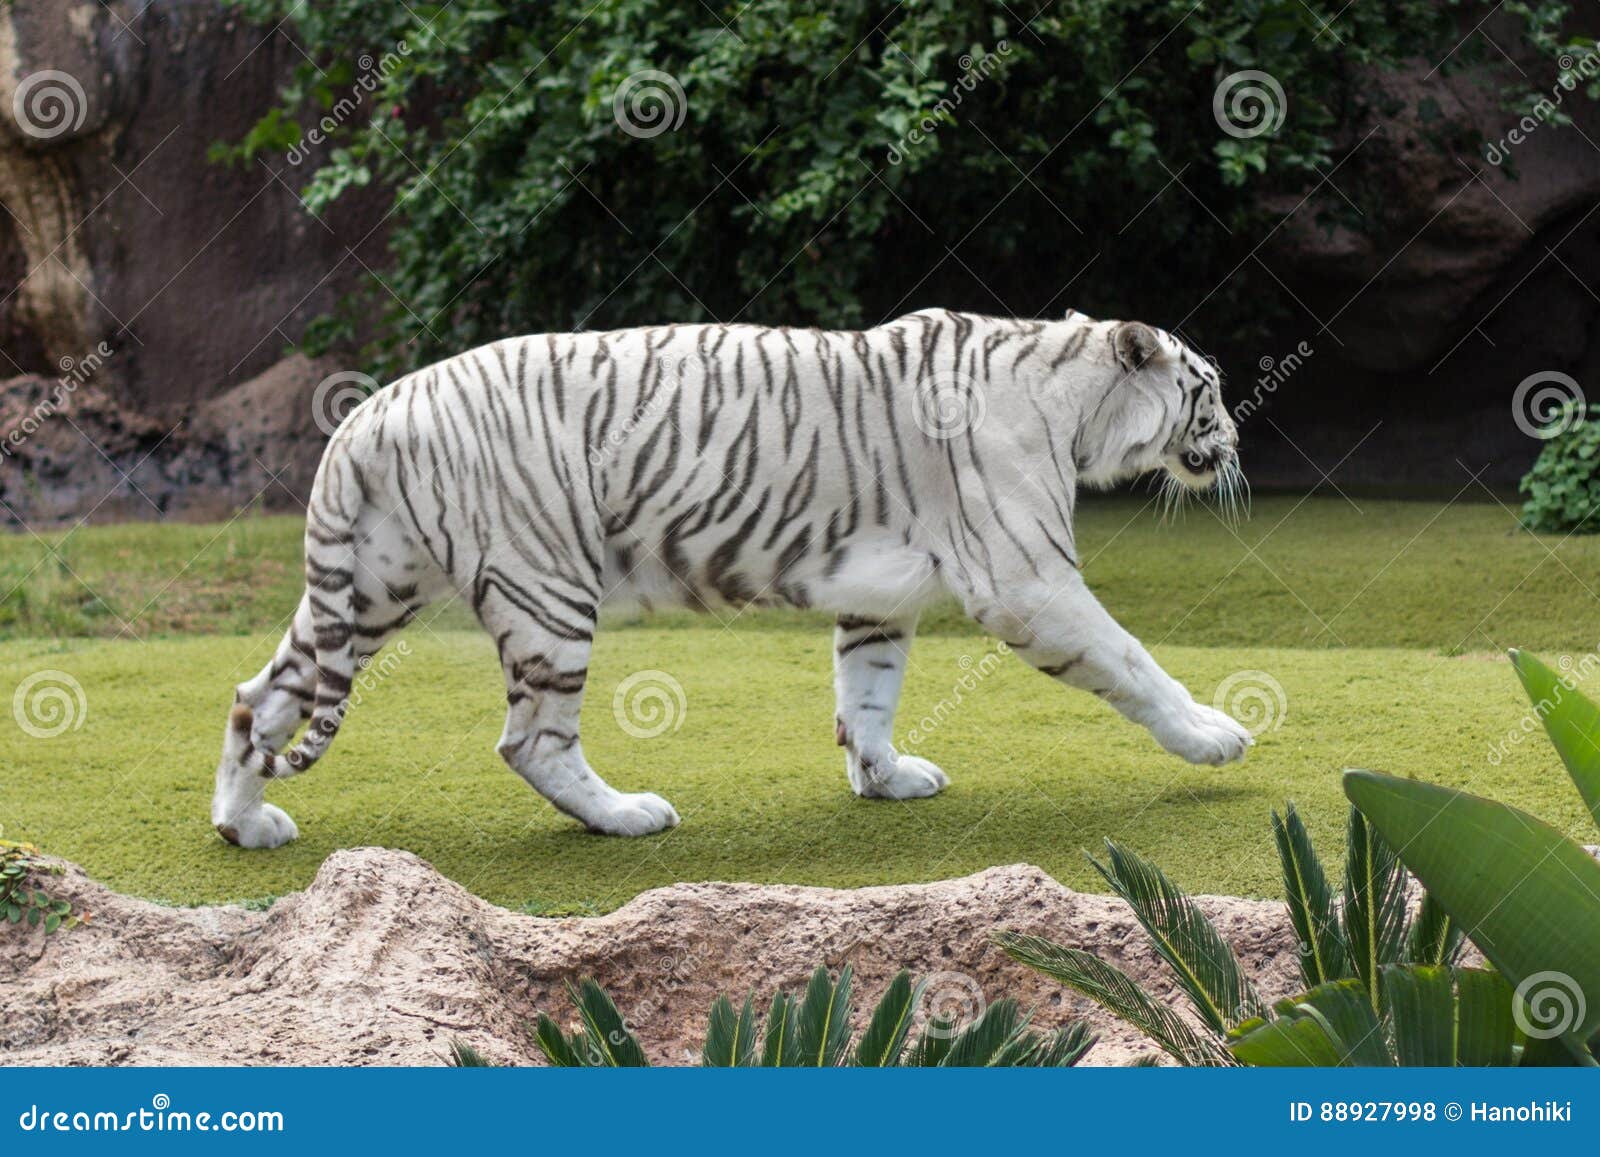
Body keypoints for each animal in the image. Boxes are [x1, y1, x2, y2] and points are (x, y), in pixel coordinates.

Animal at [211, 308, 1252, 848]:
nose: (1241, 439)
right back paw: (626, 815)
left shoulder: (876, 598)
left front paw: (884, 778)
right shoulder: (1030, 583)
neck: (1068, 394)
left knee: (259, 694)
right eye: (1208, 389)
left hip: (369, 589)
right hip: (548, 589)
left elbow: (866, 694)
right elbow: (1134, 661)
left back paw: (241, 825)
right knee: (531, 741)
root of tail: (366, 413)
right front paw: (1215, 737)